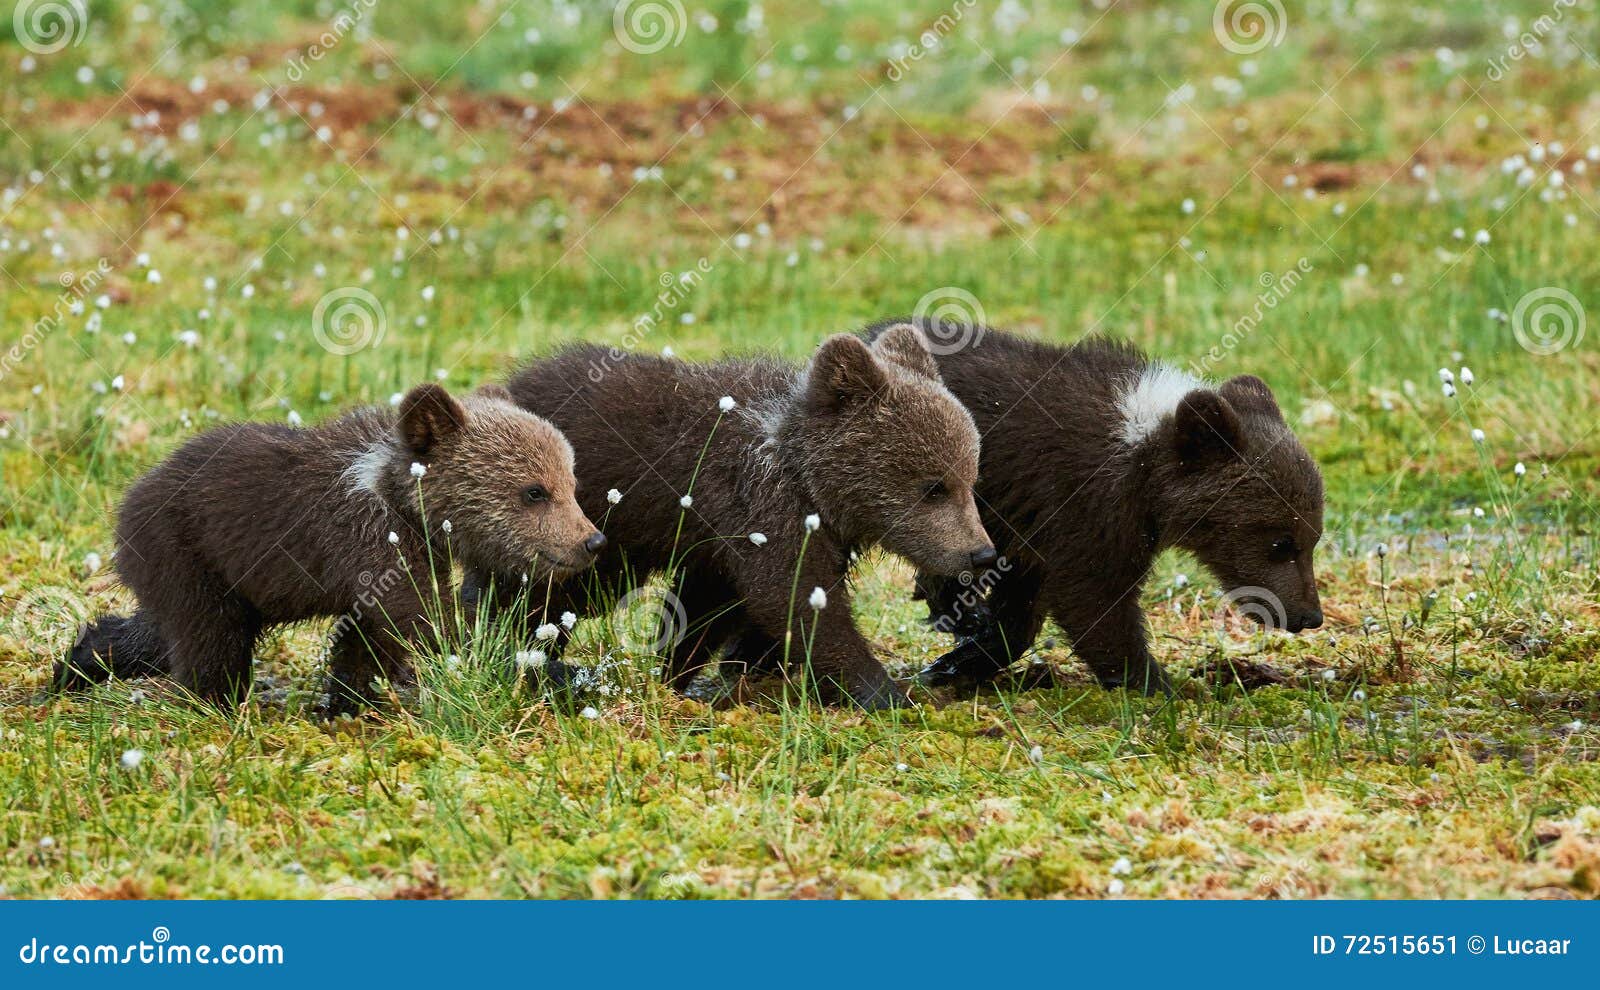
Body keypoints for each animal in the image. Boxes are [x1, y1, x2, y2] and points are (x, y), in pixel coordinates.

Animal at [54, 383, 605, 714]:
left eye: (571, 482)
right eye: (535, 491)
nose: (591, 540)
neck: (400, 499)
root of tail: (128, 498)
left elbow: (368, 639)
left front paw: (347, 700)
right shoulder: (365, 539)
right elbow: (424, 620)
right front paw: (551, 670)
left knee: (156, 634)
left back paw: (75, 666)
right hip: (187, 554)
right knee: (209, 642)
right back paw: (219, 703)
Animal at [463, 324, 995, 710]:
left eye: (970, 478)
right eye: (934, 487)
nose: (982, 552)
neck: (802, 473)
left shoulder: (724, 541)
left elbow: (705, 606)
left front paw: (680, 672)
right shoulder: (758, 506)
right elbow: (794, 597)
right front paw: (883, 690)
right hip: (554, 525)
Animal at [861, 318, 1325, 695]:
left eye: (1312, 539)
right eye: (1281, 544)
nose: (1309, 615)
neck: (1144, 454)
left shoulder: (1039, 523)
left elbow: (1025, 600)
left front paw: (964, 657)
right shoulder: (1086, 503)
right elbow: (1093, 597)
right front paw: (1157, 684)